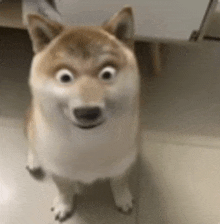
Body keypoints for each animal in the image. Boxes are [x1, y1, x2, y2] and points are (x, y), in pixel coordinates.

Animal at [24, 6, 140, 221]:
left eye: (107, 74)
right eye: (65, 77)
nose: (87, 111)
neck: (87, 141)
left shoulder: (123, 161)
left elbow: (119, 182)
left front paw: (123, 198)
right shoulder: (58, 168)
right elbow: (63, 188)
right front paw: (64, 204)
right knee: (31, 139)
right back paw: (34, 159)